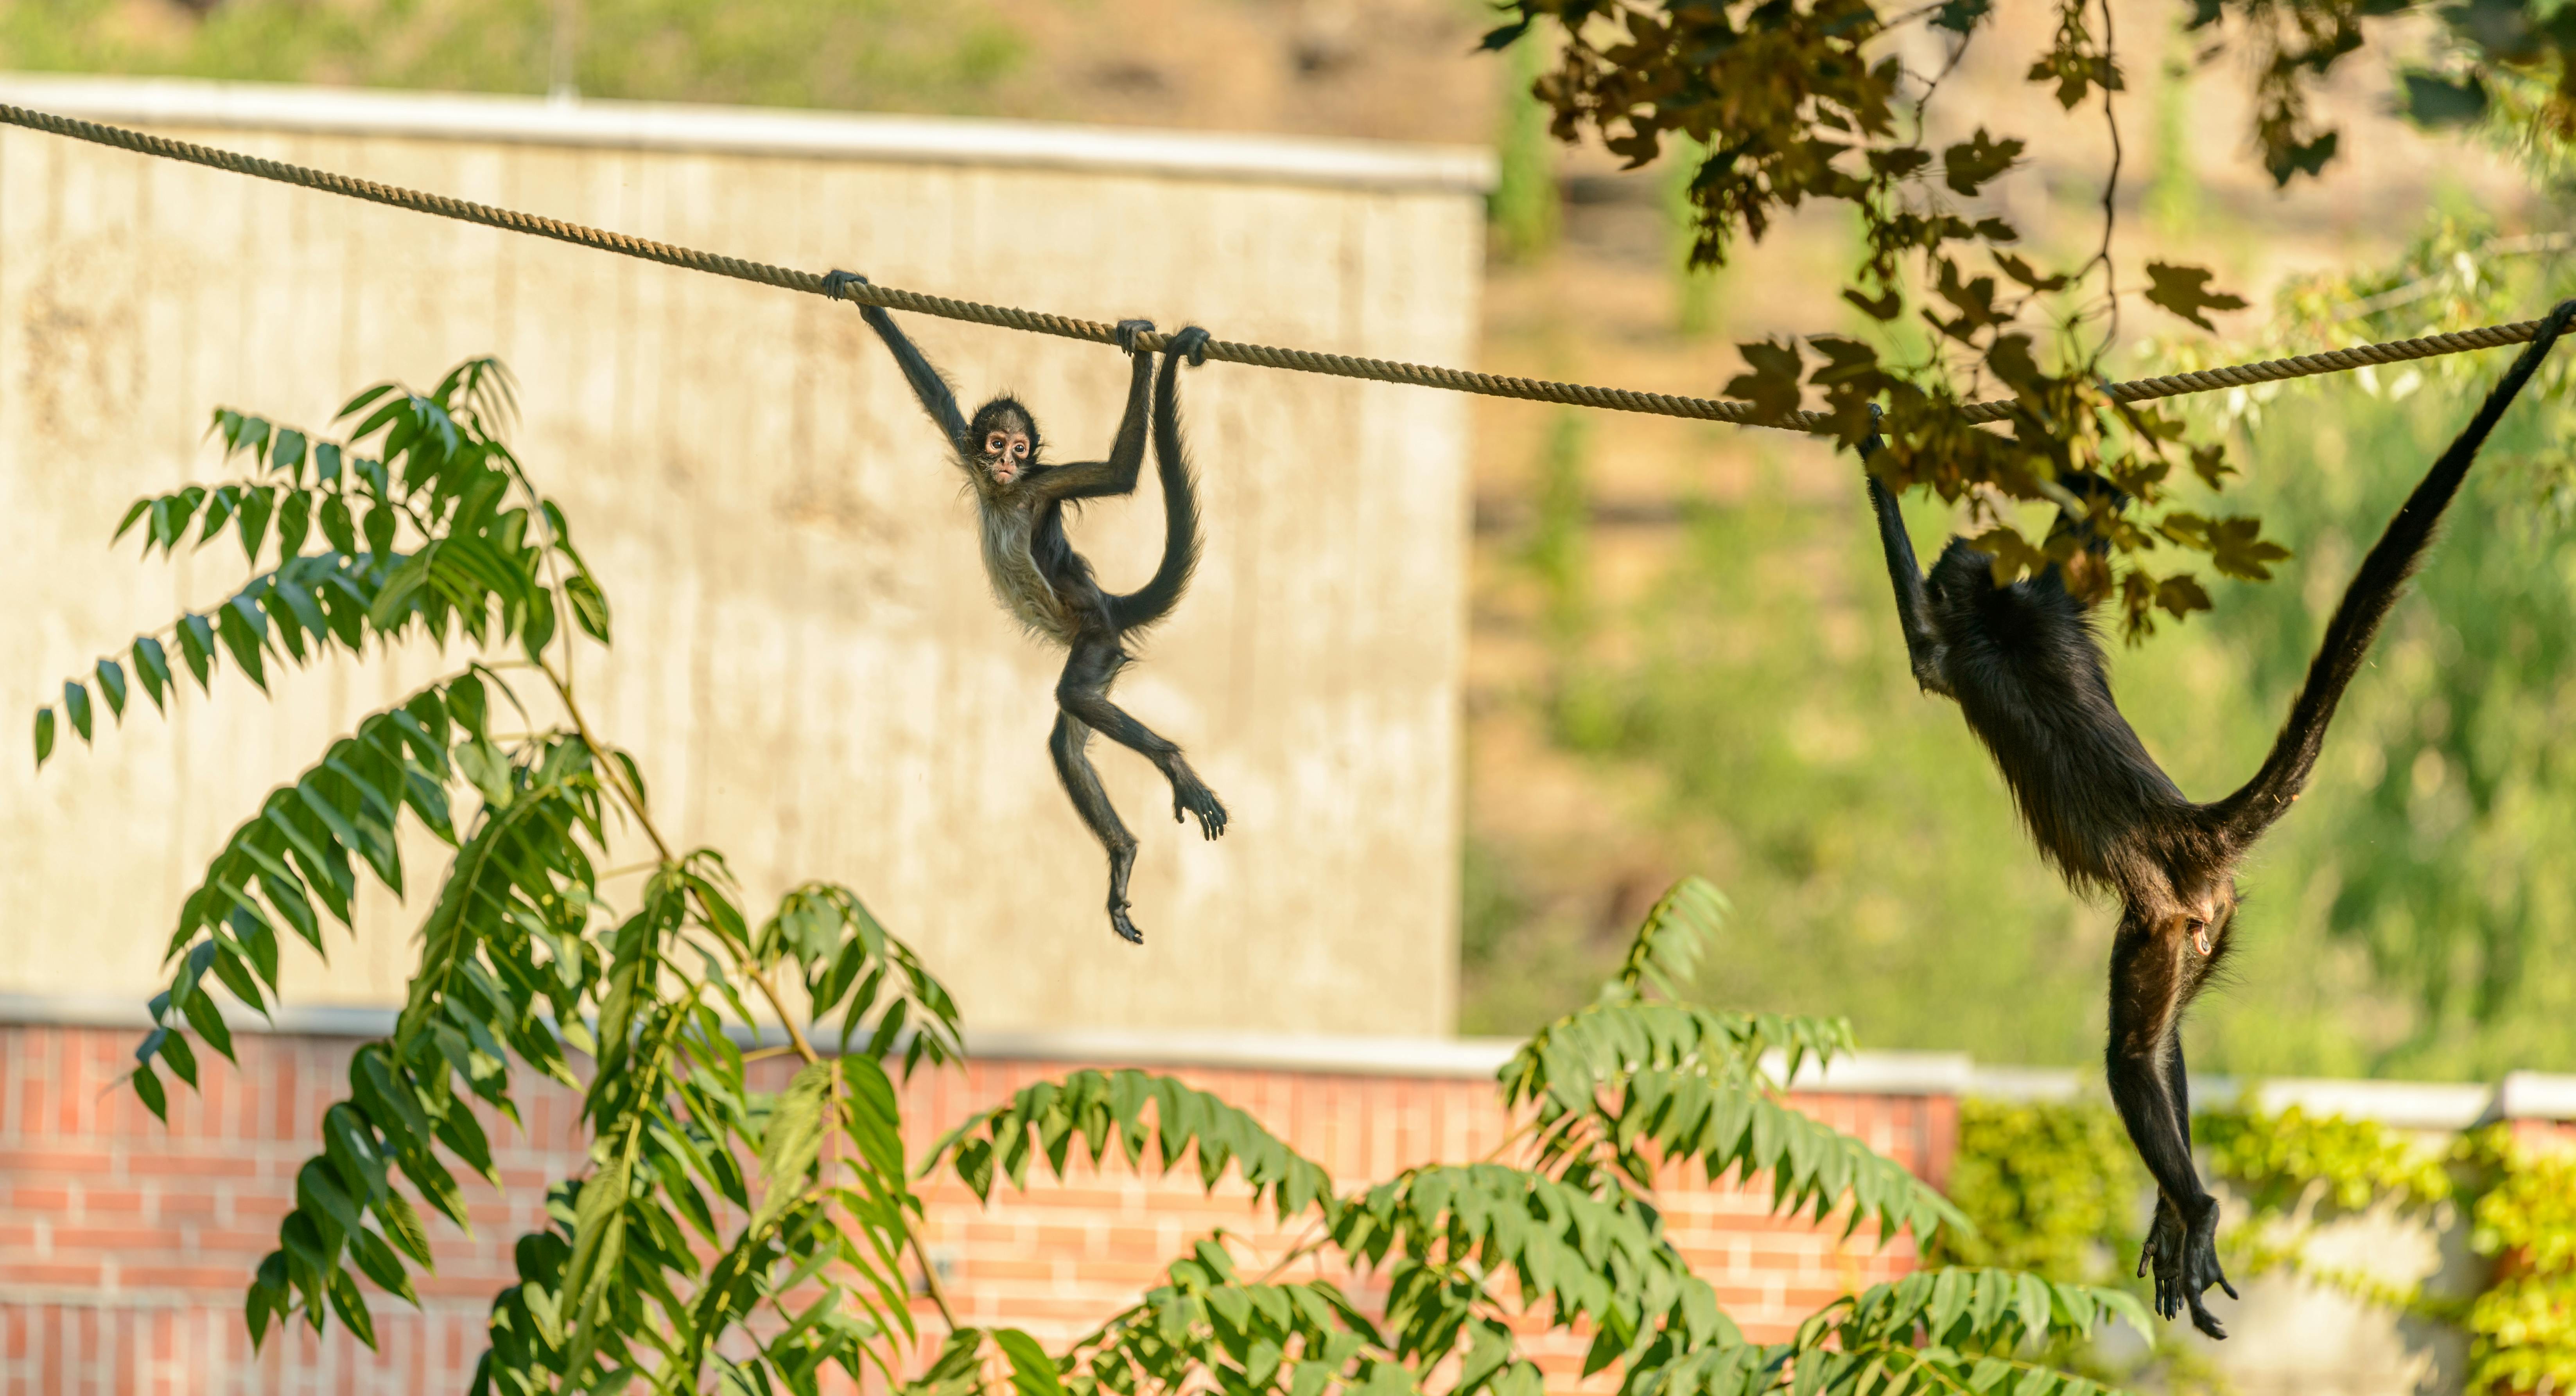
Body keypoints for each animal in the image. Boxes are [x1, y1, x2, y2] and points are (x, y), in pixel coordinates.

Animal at [825, 270, 1228, 946]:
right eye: (994, 444)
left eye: (1020, 448)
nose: (1007, 462)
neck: (1004, 494)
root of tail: (1106, 607)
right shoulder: (970, 455)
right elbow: (933, 391)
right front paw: (859, 295)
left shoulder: (1043, 486)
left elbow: (1120, 476)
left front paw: (1139, 346)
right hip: (1099, 656)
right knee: (1067, 742)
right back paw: (1122, 853)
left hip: (1095, 643)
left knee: (1074, 697)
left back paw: (1172, 764)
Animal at [1857, 300, 2576, 1338]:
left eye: (1966, 567)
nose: (1969, 549)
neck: (2003, 610)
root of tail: (2185, 823)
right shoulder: (2050, 592)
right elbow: (2096, 511)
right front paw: (2081, 404)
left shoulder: (1964, 645)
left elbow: (1920, 639)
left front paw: (1873, 444)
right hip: (2209, 921)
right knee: (2164, 1041)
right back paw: (2176, 1212)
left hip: (2158, 919)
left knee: (2128, 1055)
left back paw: (2194, 1203)